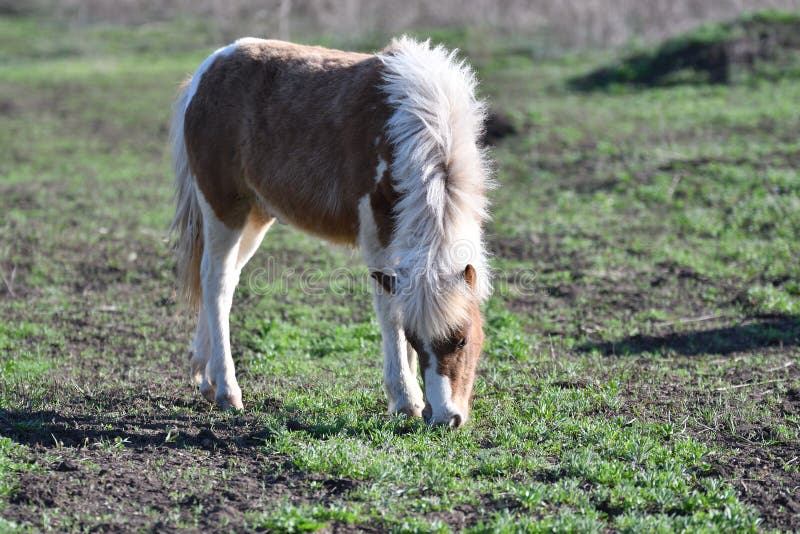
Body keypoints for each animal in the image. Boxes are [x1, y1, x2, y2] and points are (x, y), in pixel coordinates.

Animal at [169, 36, 492, 428]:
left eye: (461, 340)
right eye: (419, 341)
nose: (446, 418)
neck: (417, 122)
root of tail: (207, 71)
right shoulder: (376, 231)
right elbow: (389, 311)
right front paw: (405, 399)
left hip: (255, 216)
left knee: (226, 280)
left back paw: (207, 377)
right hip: (224, 210)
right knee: (215, 282)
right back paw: (228, 391)